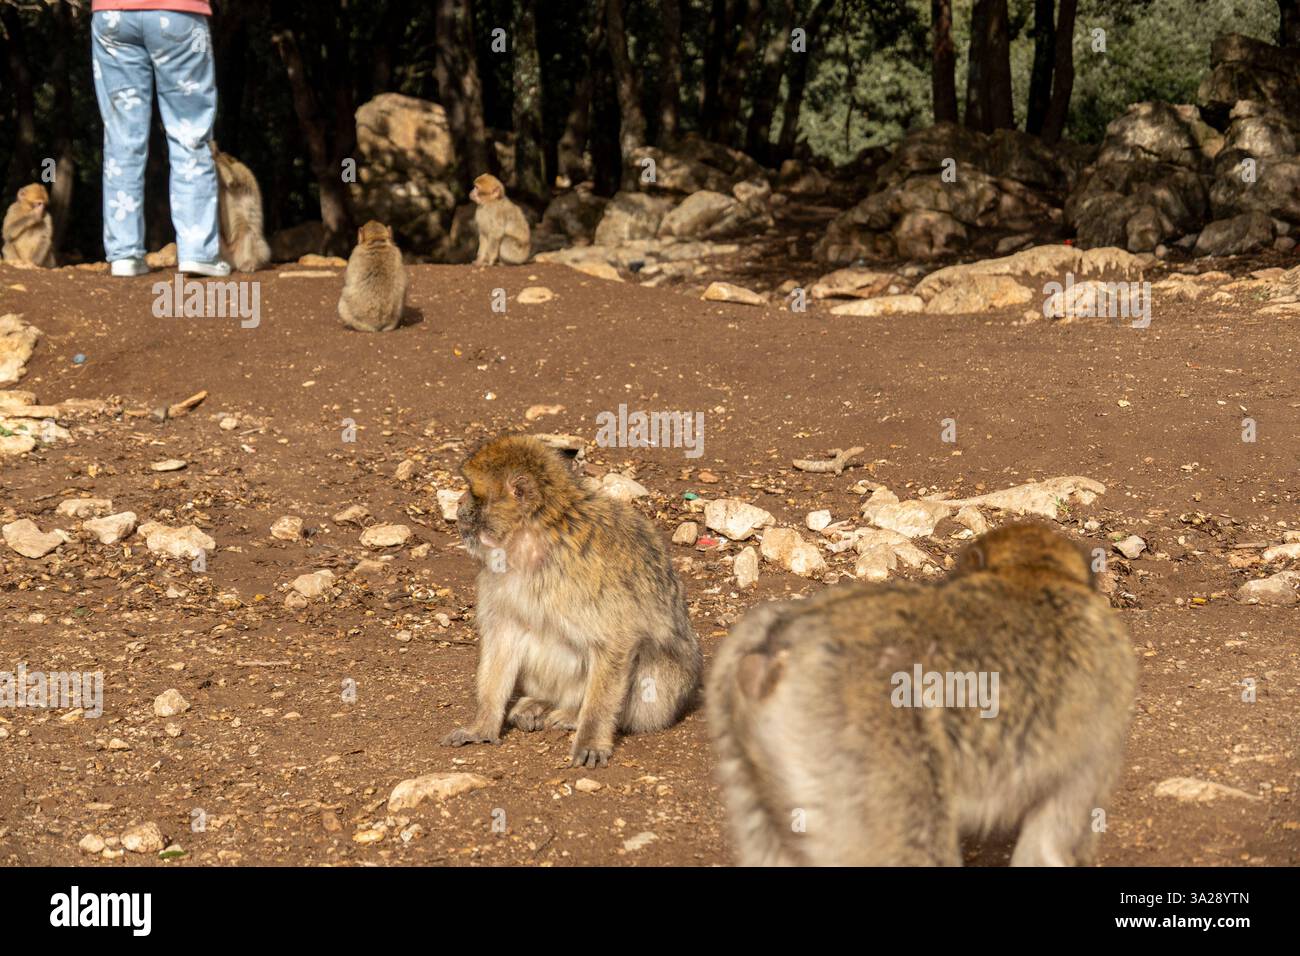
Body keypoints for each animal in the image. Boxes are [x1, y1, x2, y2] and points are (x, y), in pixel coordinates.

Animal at [210, 142, 271, 273]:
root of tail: (233, 262)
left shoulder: (241, 171)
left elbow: (232, 179)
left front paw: (215, 154)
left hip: (245, 246)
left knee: (249, 234)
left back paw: (249, 264)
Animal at [442, 434, 701, 768]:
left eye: (473, 492)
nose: (459, 503)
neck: (534, 542)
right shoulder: (495, 576)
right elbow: (503, 636)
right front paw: (483, 726)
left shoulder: (588, 574)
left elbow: (615, 641)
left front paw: (590, 737)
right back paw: (541, 703)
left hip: (663, 698)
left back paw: (572, 714)